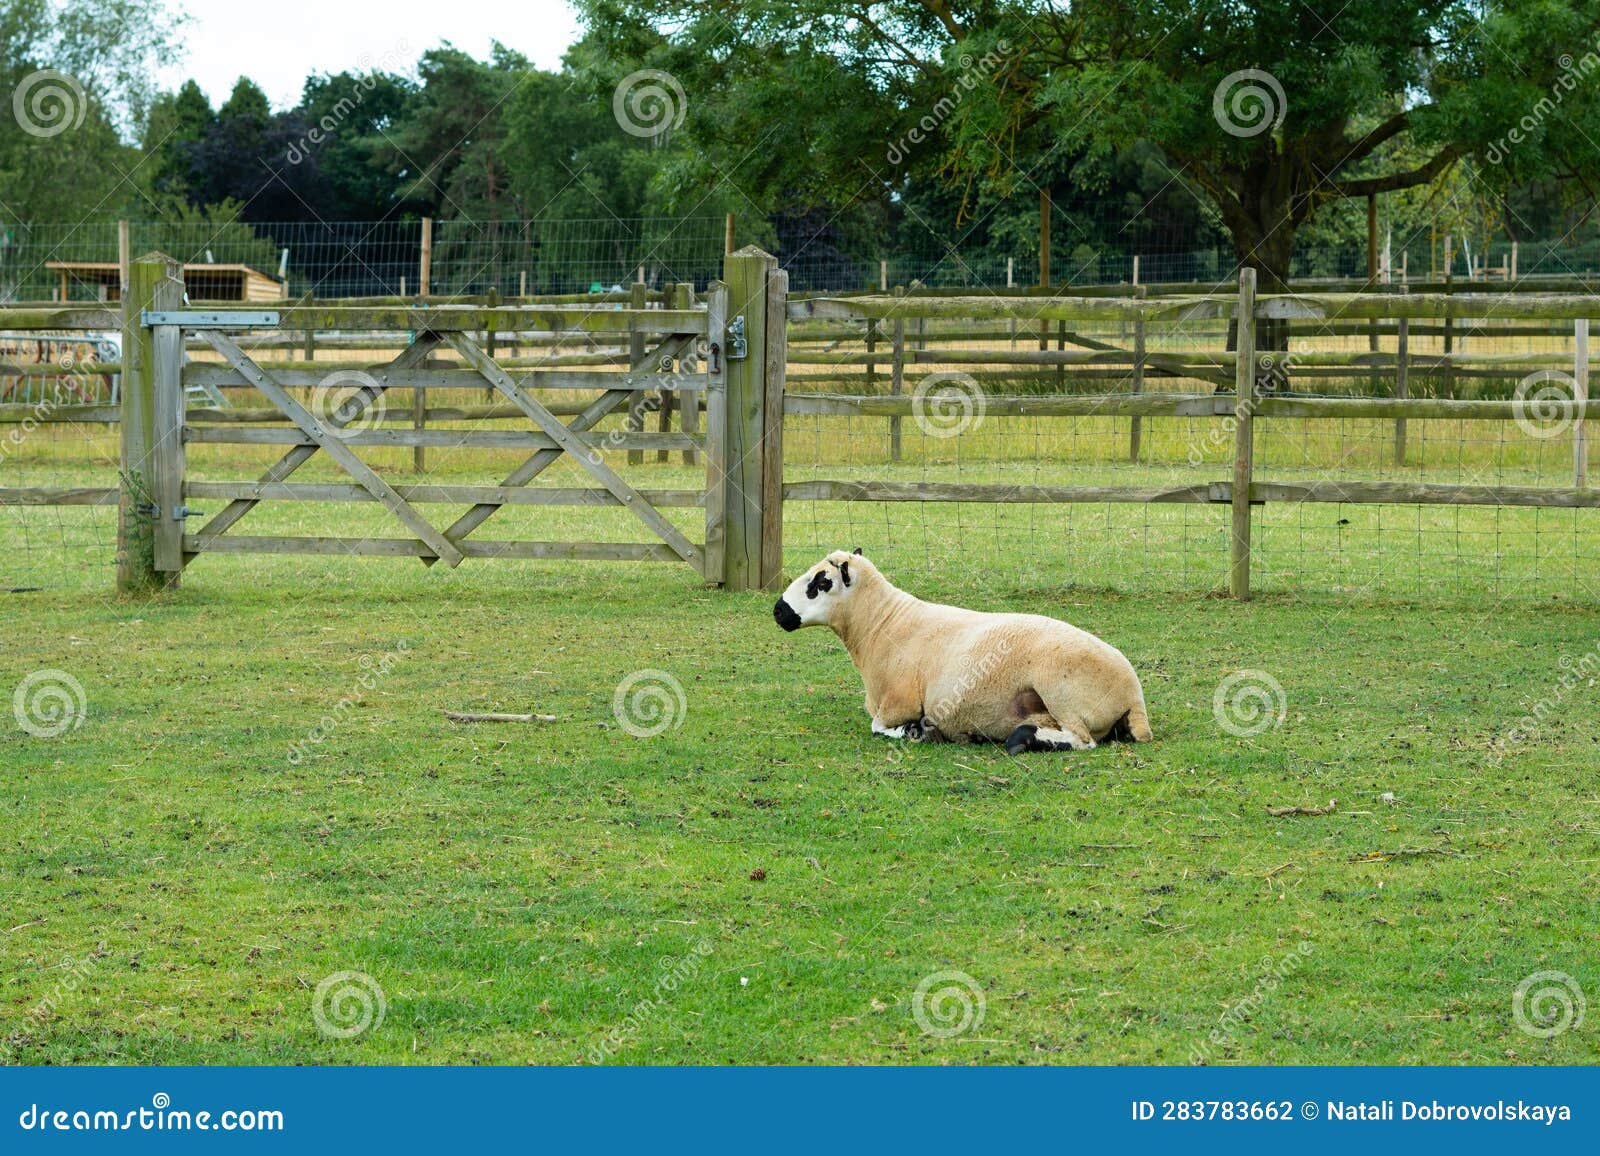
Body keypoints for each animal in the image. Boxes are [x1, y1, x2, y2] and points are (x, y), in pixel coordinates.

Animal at [773, 549, 1152, 753]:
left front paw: (916, 733)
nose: (778, 610)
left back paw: (1021, 739)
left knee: (1082, 740)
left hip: (1060, 691)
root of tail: (1133, 695)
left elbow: (878, 727)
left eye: (822, 582)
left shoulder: (900, 702)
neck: (882, 624)